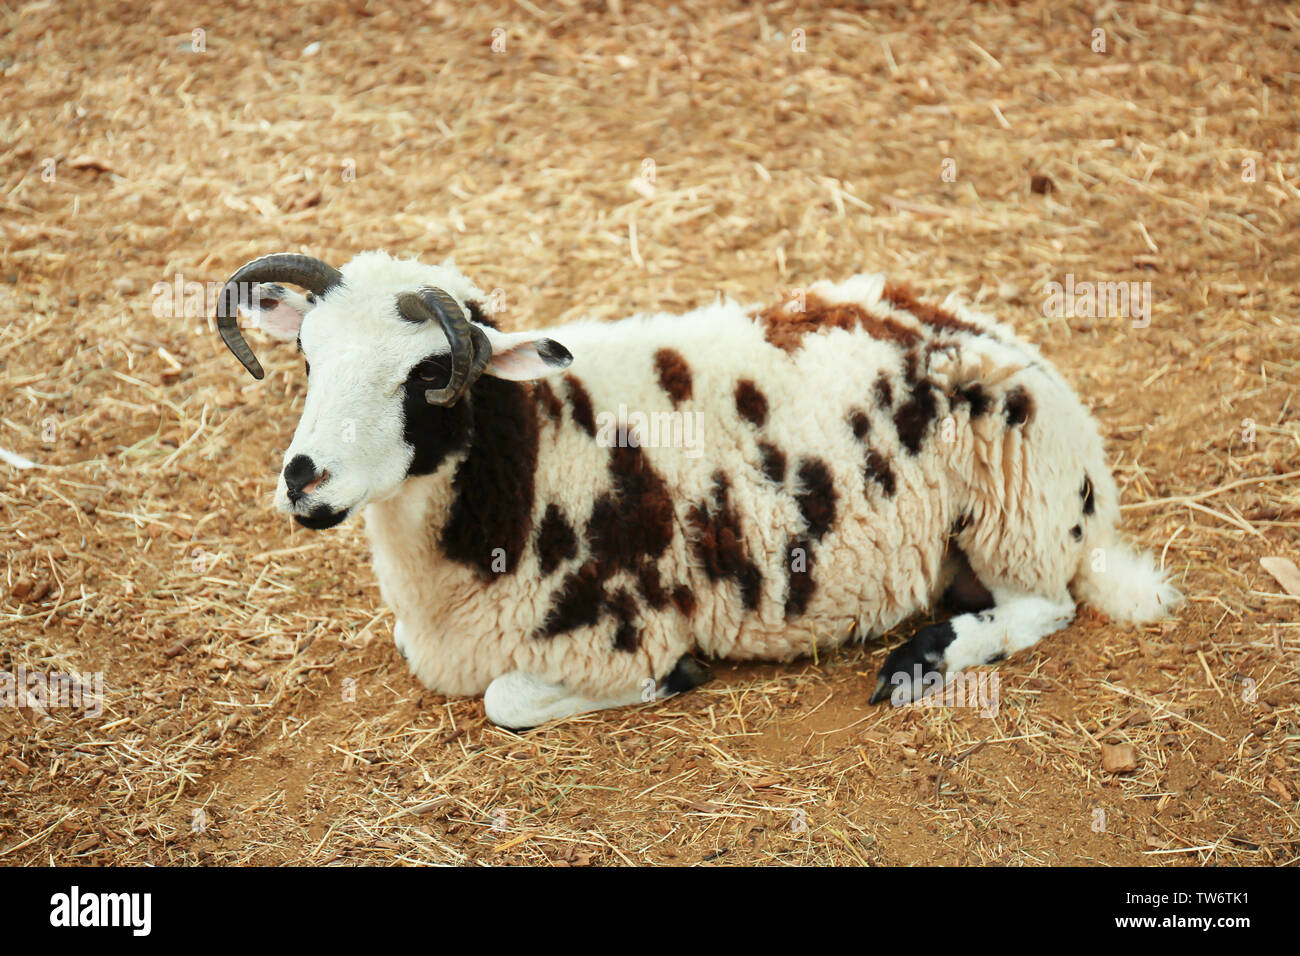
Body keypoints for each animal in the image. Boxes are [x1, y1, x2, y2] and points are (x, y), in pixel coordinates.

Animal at [213, 251, 1182, 728]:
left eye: (427, 379)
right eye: (309, 358)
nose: (304, 482)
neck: (531, 459)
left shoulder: (615, 632)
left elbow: (506, 702)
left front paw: (677, 678)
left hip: (1012, 507)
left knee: (1044, 606)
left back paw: (921, 662)